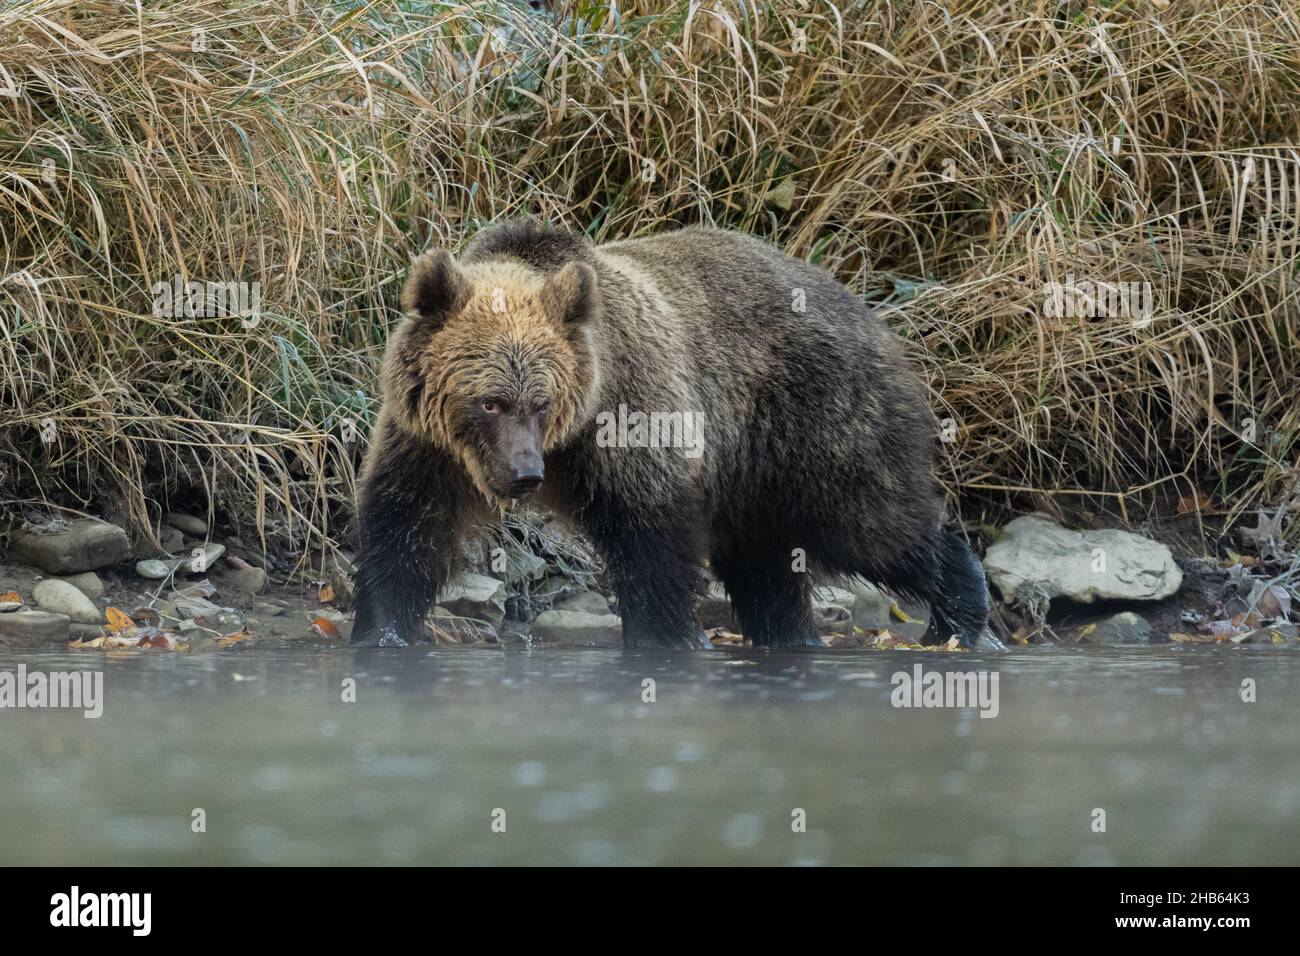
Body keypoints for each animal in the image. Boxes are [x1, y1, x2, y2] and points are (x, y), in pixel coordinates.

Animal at [350, 221, 989, 649]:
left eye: (542, 401)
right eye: (489, 401)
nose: (525, 474)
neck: (569, 438)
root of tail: (872, 315)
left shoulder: (628, 417)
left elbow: (651, 535)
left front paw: (667, 639)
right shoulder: (428, 444)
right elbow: (405, 528)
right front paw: (382, 632)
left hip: (816, 421)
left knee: (873, 520)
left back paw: (960, 611)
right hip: (754, 475)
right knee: (768, 564)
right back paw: (791, 635)